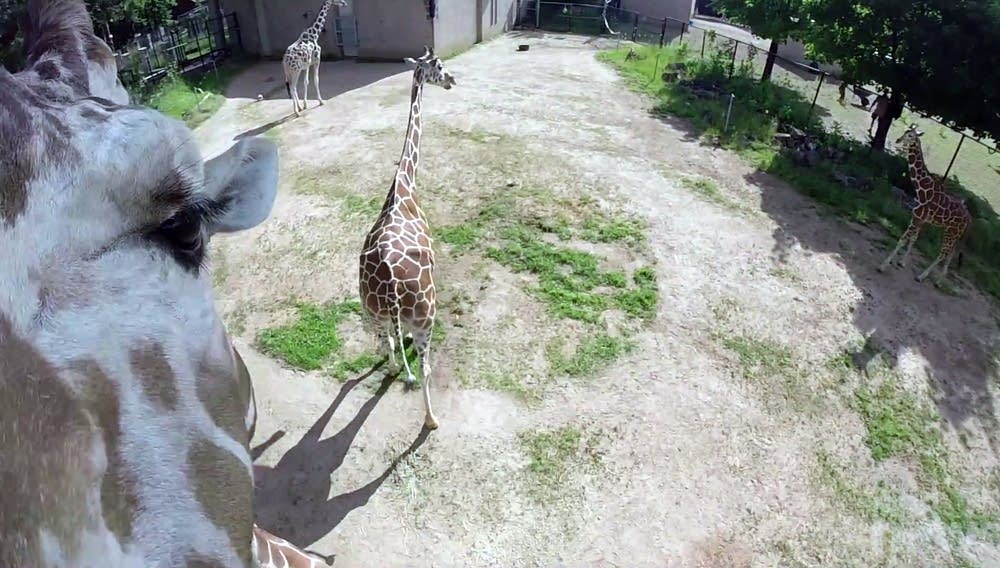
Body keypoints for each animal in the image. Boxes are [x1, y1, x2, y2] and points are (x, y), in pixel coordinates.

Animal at [358, 47, 455, 431]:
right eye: (439, 66)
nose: (453, 79)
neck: (405, 183)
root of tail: (391, 286)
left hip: (371, 310)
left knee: (385, 342)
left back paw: (393, 368)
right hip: (426, 316)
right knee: (425, 369)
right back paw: (431, 420)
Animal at [879, 125, 972, 283]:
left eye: (911, 136)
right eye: (905, 132)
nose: (898, 140)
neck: (921, 189)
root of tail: (969, 220)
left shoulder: (918, 218)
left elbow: (903, 239)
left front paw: (883, 265)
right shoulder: (919, 219)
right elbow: (913, 239)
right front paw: (901, 262)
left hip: (952, 232)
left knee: (943, 253)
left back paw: (921, 276)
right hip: (953, 232)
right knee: (950, 254)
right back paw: (939, 281)